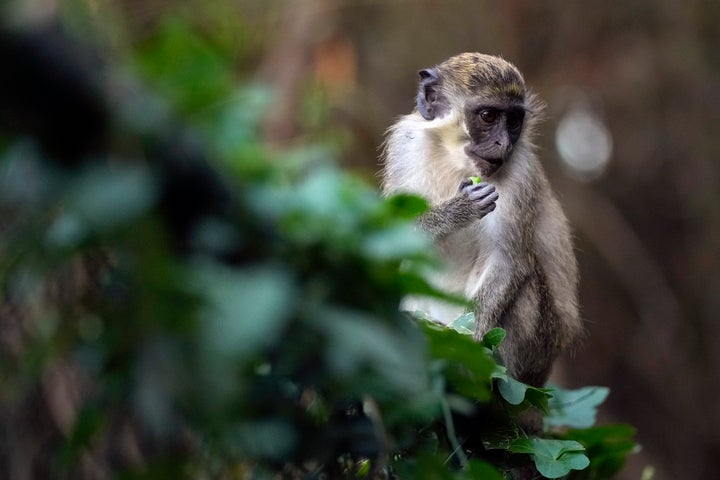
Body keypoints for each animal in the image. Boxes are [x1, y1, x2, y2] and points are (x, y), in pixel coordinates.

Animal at [381, 53, 582, 388]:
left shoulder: (520, 172)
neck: (456, 161)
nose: (503, 144)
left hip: (534, 352)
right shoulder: (404, 147)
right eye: (488, 116)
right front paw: (457, 210)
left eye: (513, 121)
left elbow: (508, 261)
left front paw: (465, 354)